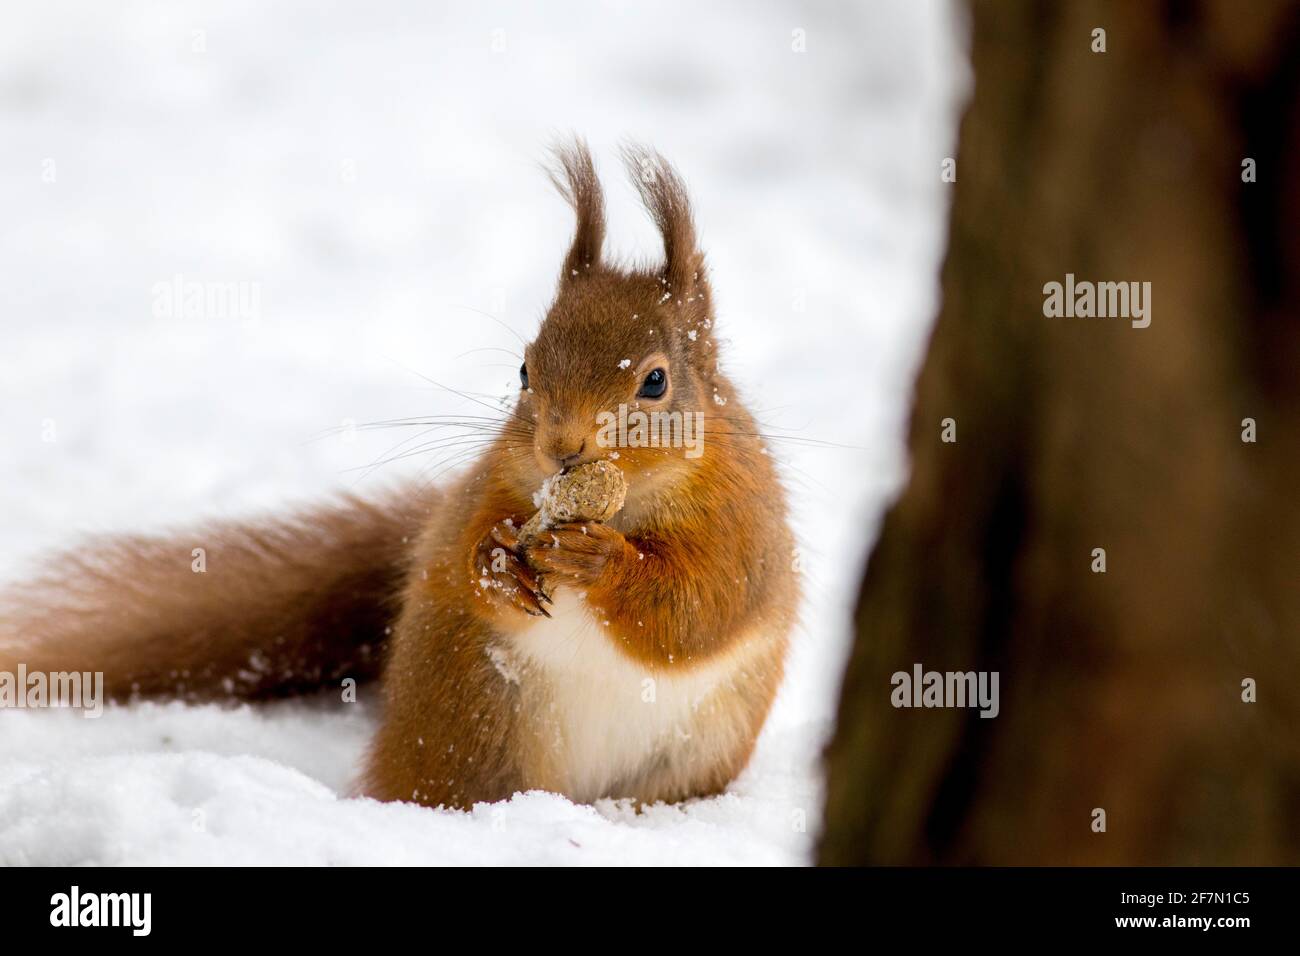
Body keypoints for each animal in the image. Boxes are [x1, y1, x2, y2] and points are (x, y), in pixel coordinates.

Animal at [0, 142, 799, 809]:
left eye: (655, 382)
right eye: (524, 370)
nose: (560, 446)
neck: (622, 505)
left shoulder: (743, 525)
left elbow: (697, 607)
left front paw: (602, 561)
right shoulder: (494, 487)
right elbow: (462, 553)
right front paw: (495, 564)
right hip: (476, 723)